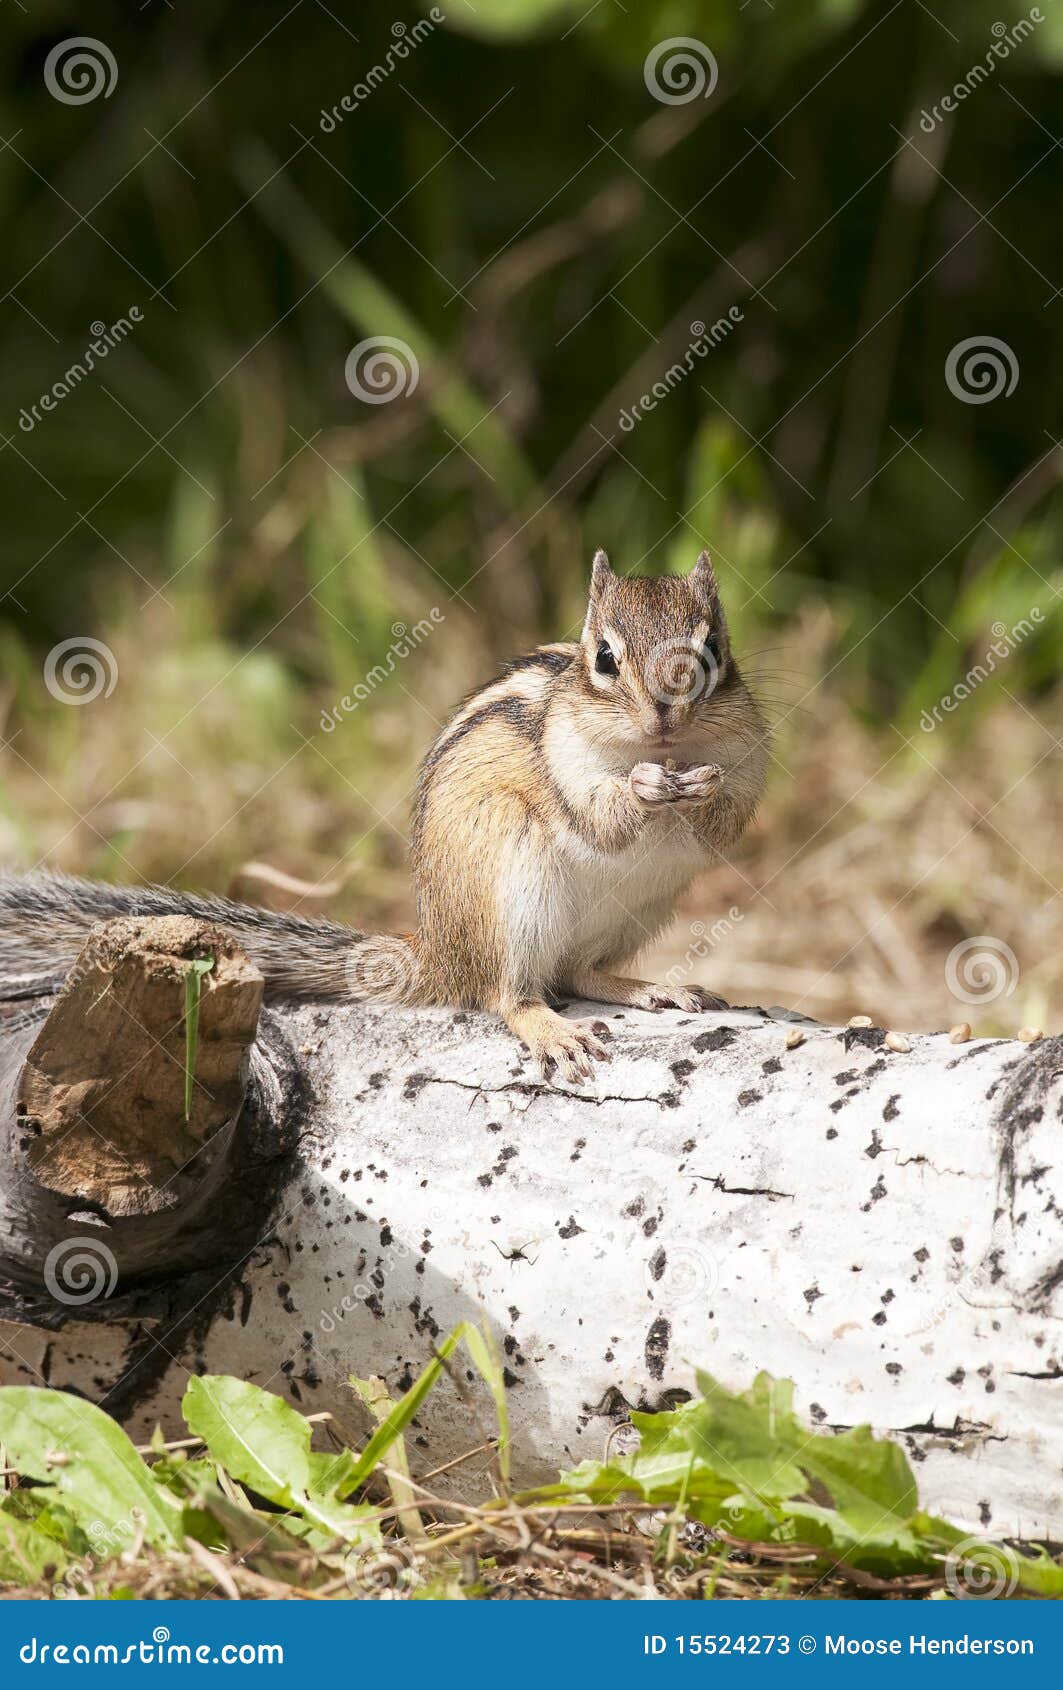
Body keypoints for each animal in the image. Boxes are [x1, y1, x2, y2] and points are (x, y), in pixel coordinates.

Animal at [0, 549, 767, 1085]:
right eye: (604, 658)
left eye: (711, 652)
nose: (665, 719)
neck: (663, 750)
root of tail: (441, 952)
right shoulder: (565, 763)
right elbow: (600, 814)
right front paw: (641, 785)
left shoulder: (748, 755)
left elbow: (729, 818)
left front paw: (704, 789)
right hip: (511, 883)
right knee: (509, 993)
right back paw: (549, 1027)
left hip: (639, 910)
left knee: (579, 973)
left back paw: (649, 988)